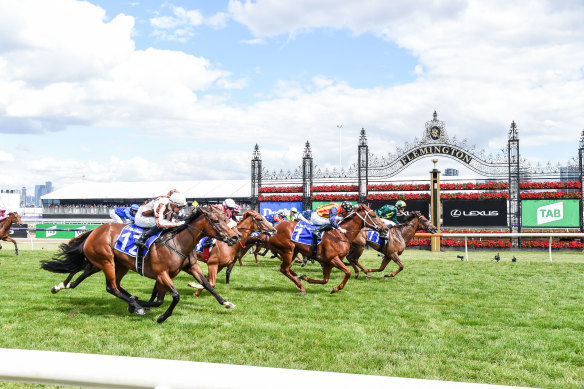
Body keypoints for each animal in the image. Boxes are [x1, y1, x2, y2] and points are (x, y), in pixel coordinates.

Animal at [42, 206, 241, 322]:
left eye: (226, 219)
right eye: (215, 220)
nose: (235, 237)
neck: (178, 241)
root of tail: (95, 230)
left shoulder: (191, 267)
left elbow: (207, 284)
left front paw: (226, 303)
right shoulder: (162, 273)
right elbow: (174, 296)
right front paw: (159, 316)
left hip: (113, 263)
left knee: (94, 277)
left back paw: (61, 286)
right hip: (106, 261)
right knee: (111, 287)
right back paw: (135, 306)